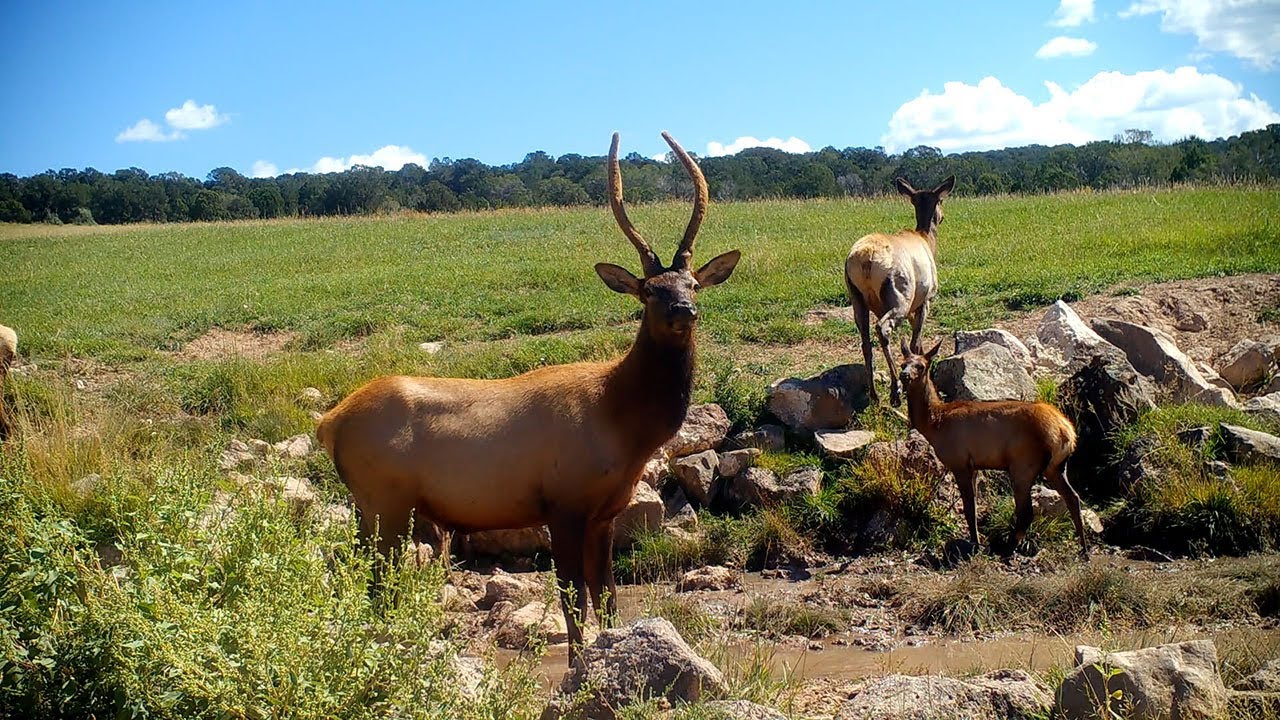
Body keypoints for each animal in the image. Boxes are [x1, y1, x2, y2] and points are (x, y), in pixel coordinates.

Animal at [316, 132, 740, 665]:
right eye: (648, 291)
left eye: (693, 283)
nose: (684, 309)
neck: (623, 428)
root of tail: (328, 423)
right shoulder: (562, 502)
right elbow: (571, 596)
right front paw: (580, 664)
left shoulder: (605, 513)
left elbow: (607, 596)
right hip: (383, 499)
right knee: (377, 583)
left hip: (376, 506)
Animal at [844, 176, 954, 406]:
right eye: (941, 201)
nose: (942, 217)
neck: (926, 239)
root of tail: (866, 259)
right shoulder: (925, 300)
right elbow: (916, 341)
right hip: (899, 293)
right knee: (882, 328)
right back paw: (895, 389)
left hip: (855, 295)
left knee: (865, 340)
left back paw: (874, 395)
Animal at [897, 340, 1090, 559]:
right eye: (903, 363)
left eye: (921, 366)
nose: (904, 375)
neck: (935, 424)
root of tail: (1067, 433)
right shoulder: (973, 465)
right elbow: (972, 506)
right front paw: (975, 540)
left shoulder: (959, 462)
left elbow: (969, 508)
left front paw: (975, 543)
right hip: (1056, 467)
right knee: (1073, 498)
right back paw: (1084, 550)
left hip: (1023, 463)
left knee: (1026, 512)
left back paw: (1007, 547)